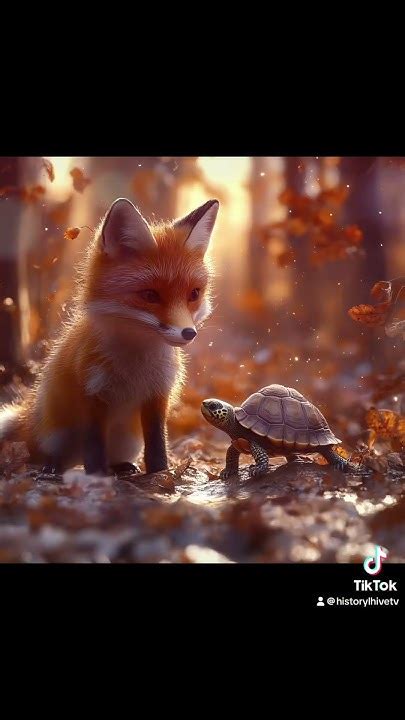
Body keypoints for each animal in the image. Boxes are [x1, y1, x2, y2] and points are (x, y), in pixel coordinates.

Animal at [0, 197, 219, 476]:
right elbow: (94, 446)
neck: (135, 363)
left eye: (194, 294)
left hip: (127, 440)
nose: (188, 333)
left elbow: (157, 444)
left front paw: (160, 474)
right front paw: (96, 477)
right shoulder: (92, 394)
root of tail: (27, 417)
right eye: (150, 295)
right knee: (43, 457)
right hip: (55, 436)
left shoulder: (157, 394)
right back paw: (51, 468)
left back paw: (122, 468)